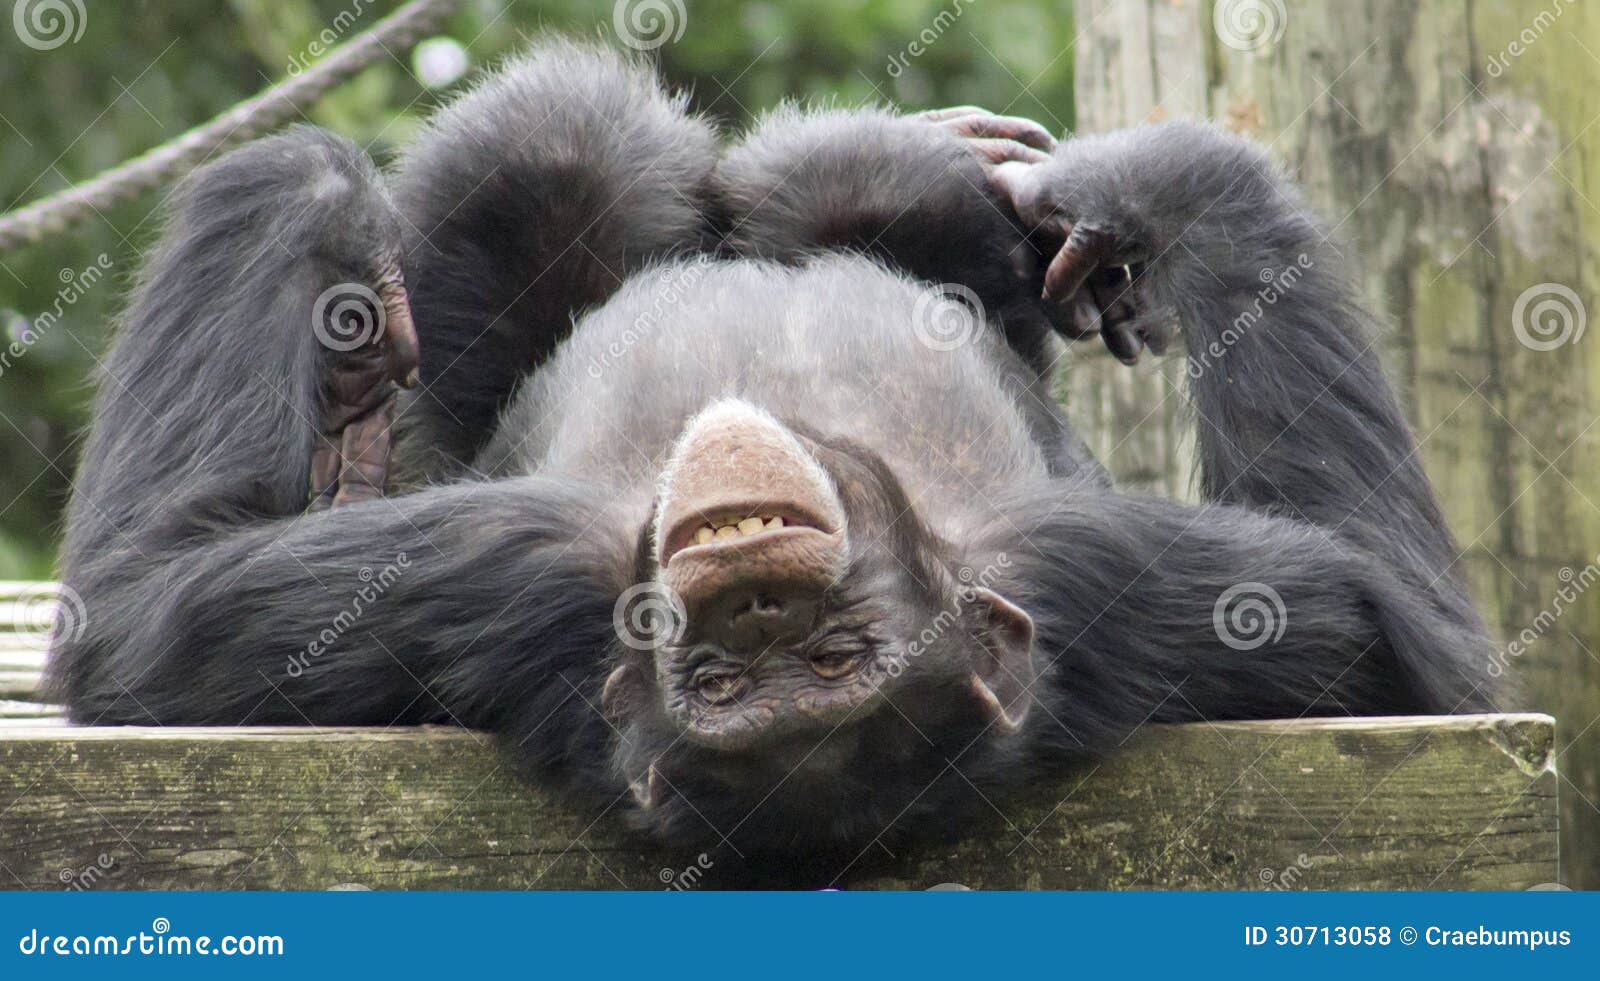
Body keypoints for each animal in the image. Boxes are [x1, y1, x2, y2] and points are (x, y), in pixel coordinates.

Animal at [48, 40, 1495, 859]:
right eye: (728, 681)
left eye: (834, 662)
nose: (752, 595)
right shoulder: (512, 584)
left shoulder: (1119, 577)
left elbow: (1406, 624)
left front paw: (1159, 184)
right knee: (599, 157)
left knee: (646, 154)